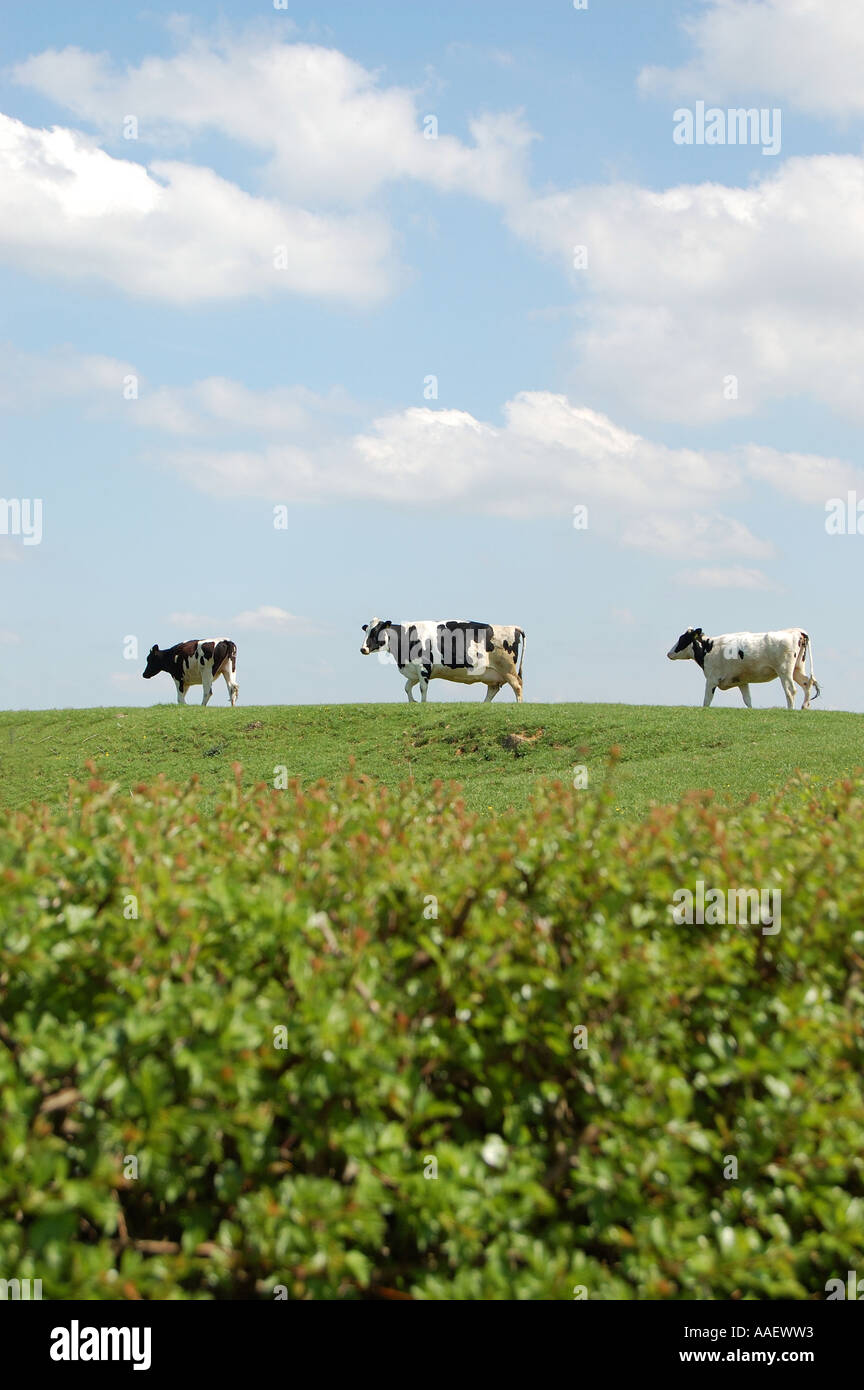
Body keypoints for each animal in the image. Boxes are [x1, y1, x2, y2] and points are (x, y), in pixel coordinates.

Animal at [360, 618, 525, 702]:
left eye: (375, 631)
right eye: (366, 631)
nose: (363, 649)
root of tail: (513, 627)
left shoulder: (424, 667)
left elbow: (423, 688)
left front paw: (423, 703)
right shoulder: (414, 670)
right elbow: (407, 687)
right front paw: (413, 702)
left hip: (508, 669)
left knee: (517, 686)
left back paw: (518, 705)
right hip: (493, 674)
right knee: (493, 690)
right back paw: (484, 704)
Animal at [667, 627, 819, 709]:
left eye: (682, 639)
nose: (669, 653)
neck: (709, 647)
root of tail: (797, 631)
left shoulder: (711, 679)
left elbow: (707, 700)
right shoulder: (742, 681)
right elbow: (748, 700)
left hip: (785, 670)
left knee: (791, 690)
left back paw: (790, 709)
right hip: (797, 669)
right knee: (807, 683)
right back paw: (804, 706)